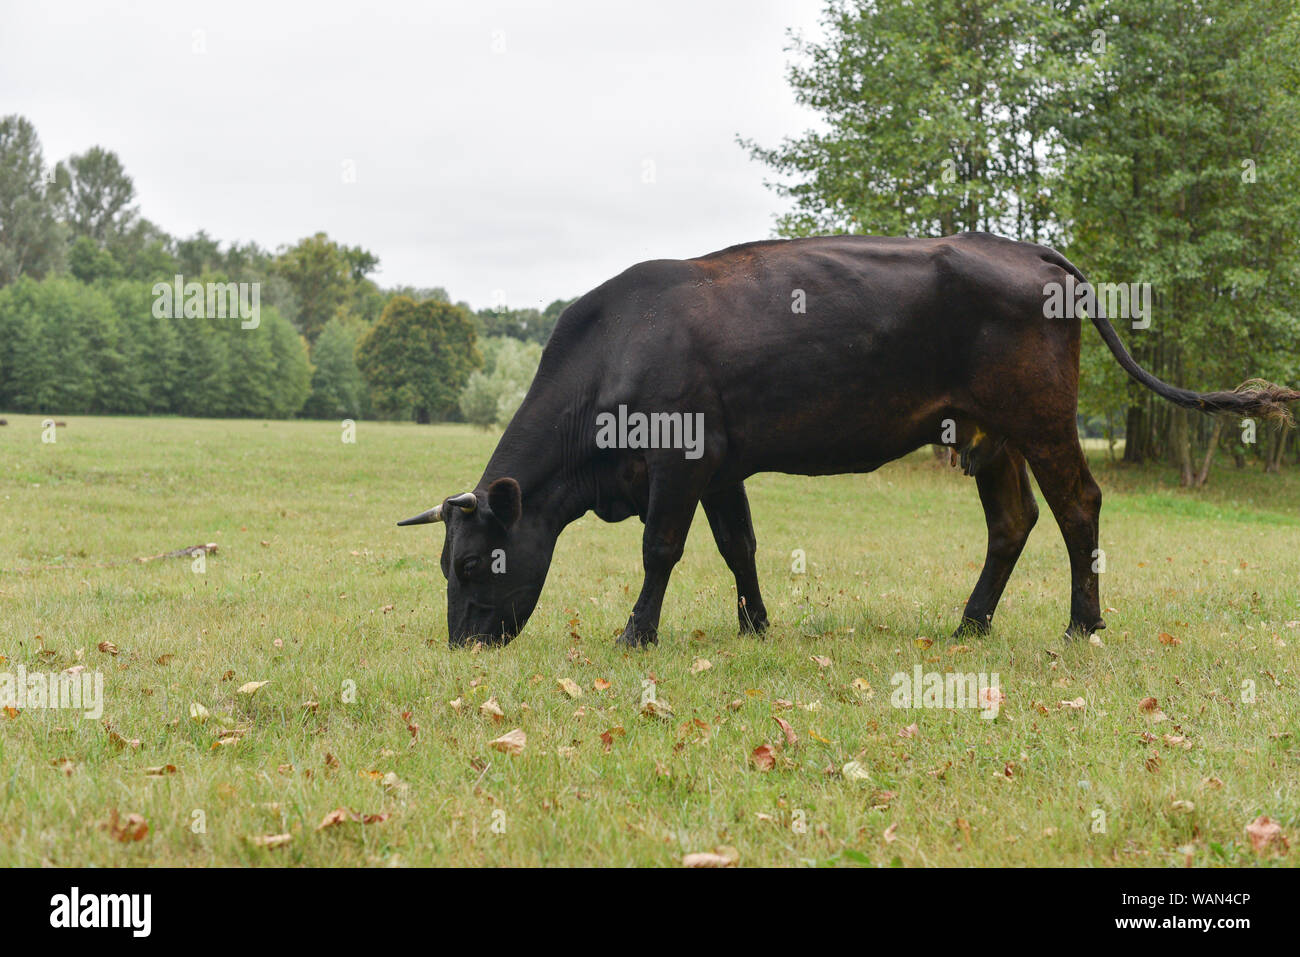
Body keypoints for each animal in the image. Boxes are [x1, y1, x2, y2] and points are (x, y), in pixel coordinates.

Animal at [398, 232, 1298, 648]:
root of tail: (1022, 244)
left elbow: (661, 549)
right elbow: (738, 546)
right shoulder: (721, 465)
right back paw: (971, 623)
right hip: (990, 432)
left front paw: (636, 633)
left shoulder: (680, 459)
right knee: (1012, 523)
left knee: (1080, 503)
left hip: (1041, 418)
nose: (463, 646)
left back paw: (1083, 624)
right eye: (445, 564)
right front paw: (756, 626)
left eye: (473, 563)